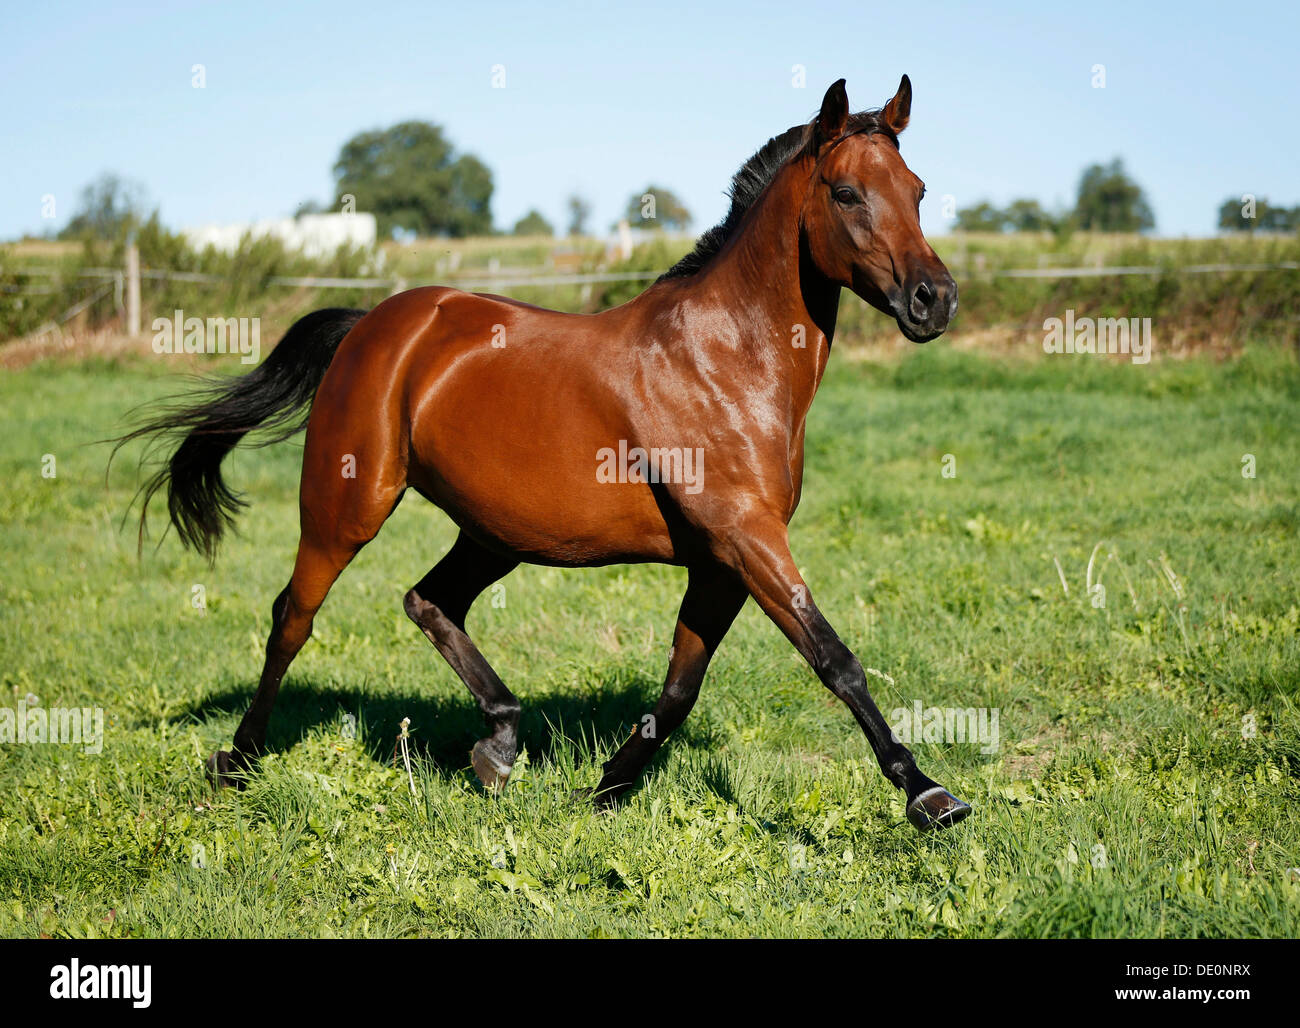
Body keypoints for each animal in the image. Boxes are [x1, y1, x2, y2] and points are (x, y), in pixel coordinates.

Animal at [122, 76, 968, 831]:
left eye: (918, 190)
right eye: (846, 193)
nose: (935, 300)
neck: (726, 361)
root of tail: (373, 324)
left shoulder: (721, 561)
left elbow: (679, 689)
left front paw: (604, 790)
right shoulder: (746, 539)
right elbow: (835, 658)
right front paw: (928, 794)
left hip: (494, 531)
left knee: (428, 600)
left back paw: (498, 743)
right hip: (345, 507)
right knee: (293, 616)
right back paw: (238, 760)